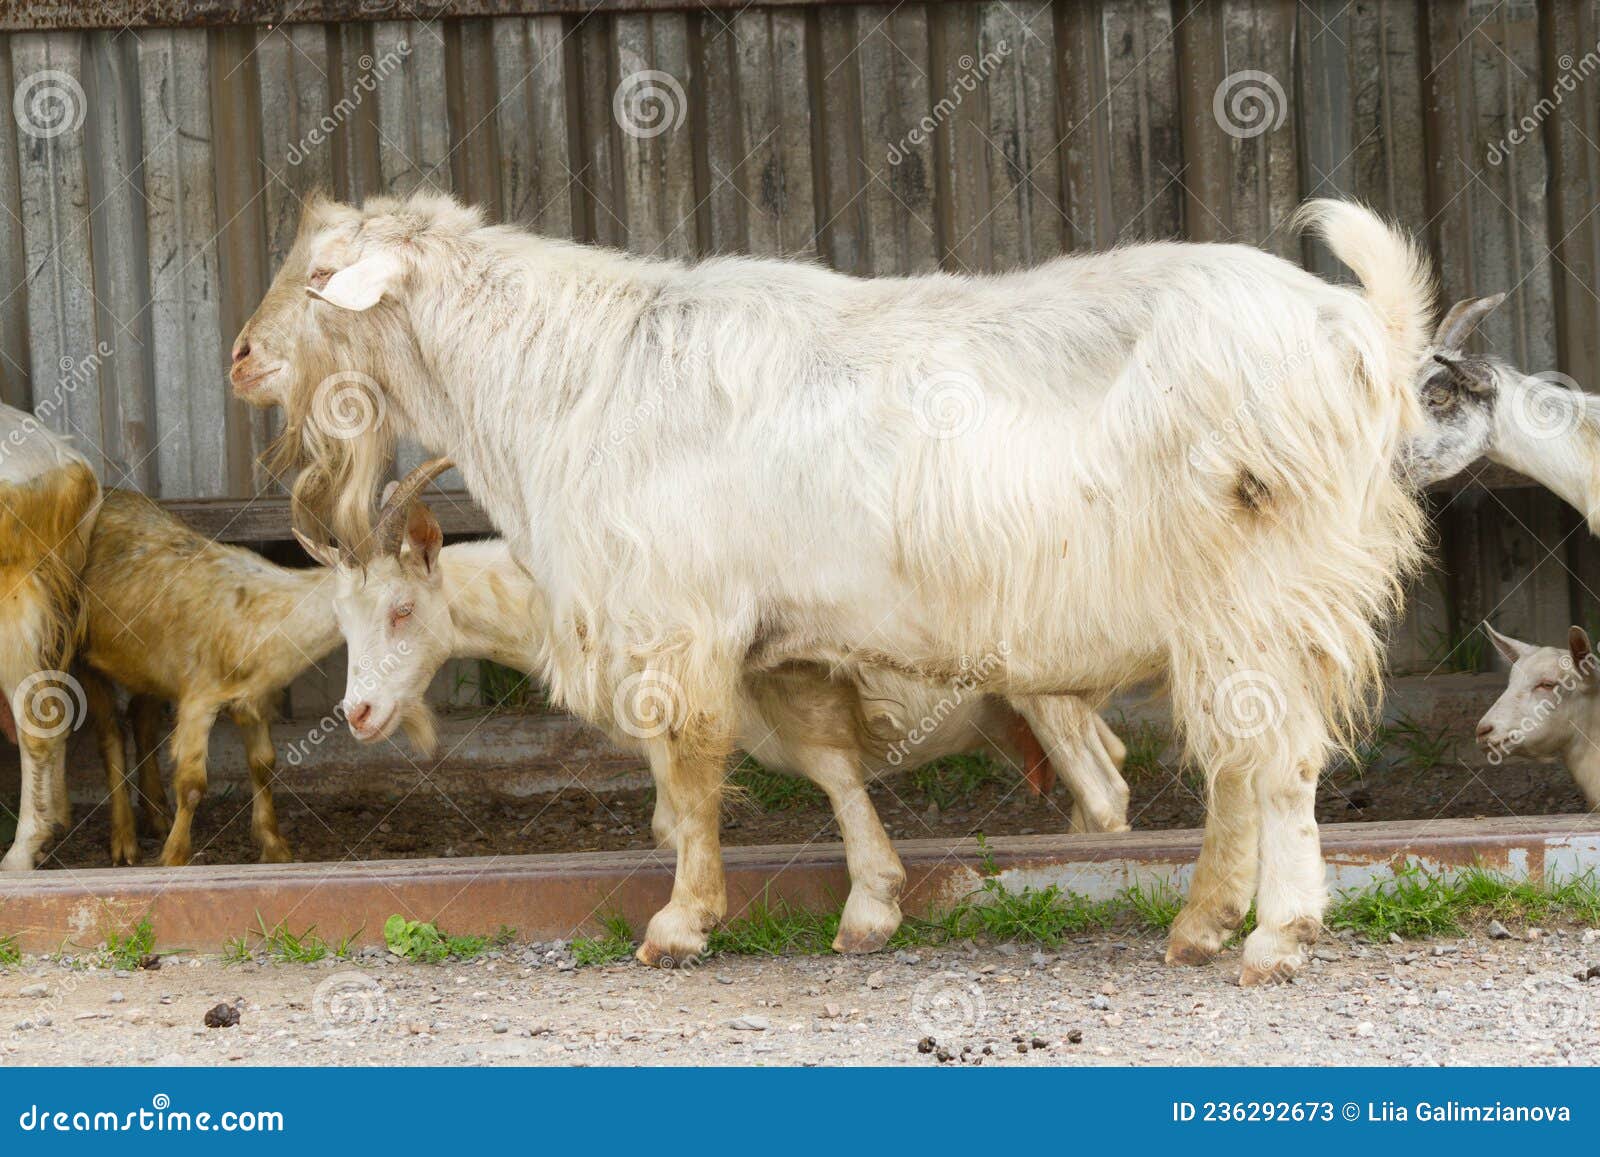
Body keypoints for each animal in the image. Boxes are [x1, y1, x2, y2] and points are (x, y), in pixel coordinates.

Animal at [297, 460, 1130, 951]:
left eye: (403, 608)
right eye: (342, 619)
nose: (360, 713)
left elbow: (784, 778)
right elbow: (677, 814)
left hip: (1042, 689)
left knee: (1107, 789)